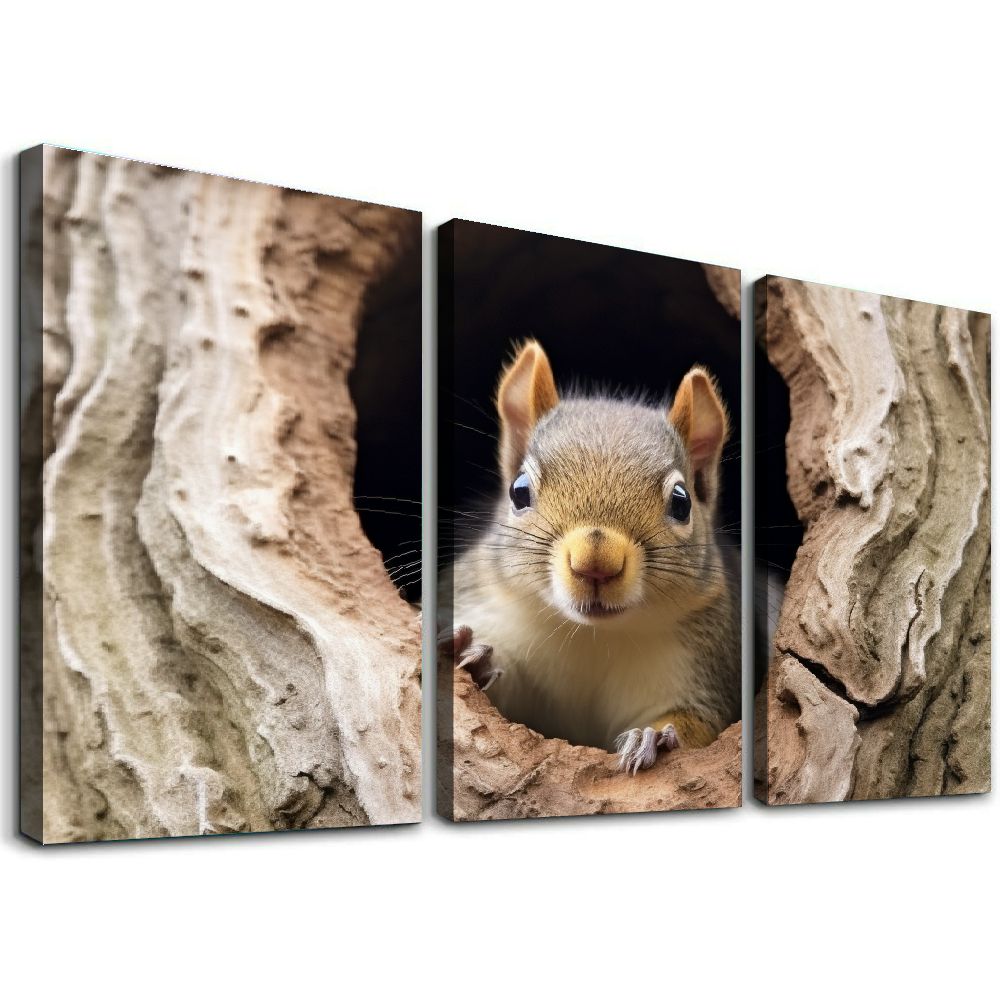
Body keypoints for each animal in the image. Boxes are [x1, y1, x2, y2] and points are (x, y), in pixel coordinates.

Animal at [443, 340, 740, 775]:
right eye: (519, 491)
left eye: (682, 502)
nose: (595, 563)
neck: (592, 635)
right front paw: (476, 655)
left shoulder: (701, 664)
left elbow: (696, 723)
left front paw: (652, 734)